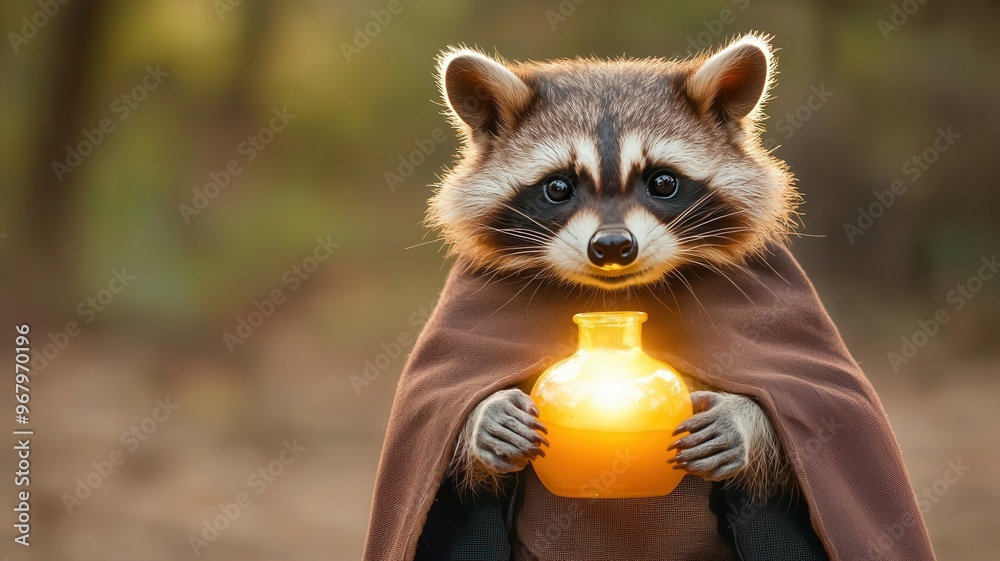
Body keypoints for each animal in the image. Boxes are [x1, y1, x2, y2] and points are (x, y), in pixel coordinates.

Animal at [430, 33, 799, 556]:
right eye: (558, 187)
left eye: (663, 182)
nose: (611, 247)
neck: (615, 300)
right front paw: (485, 412)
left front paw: (744, 419)